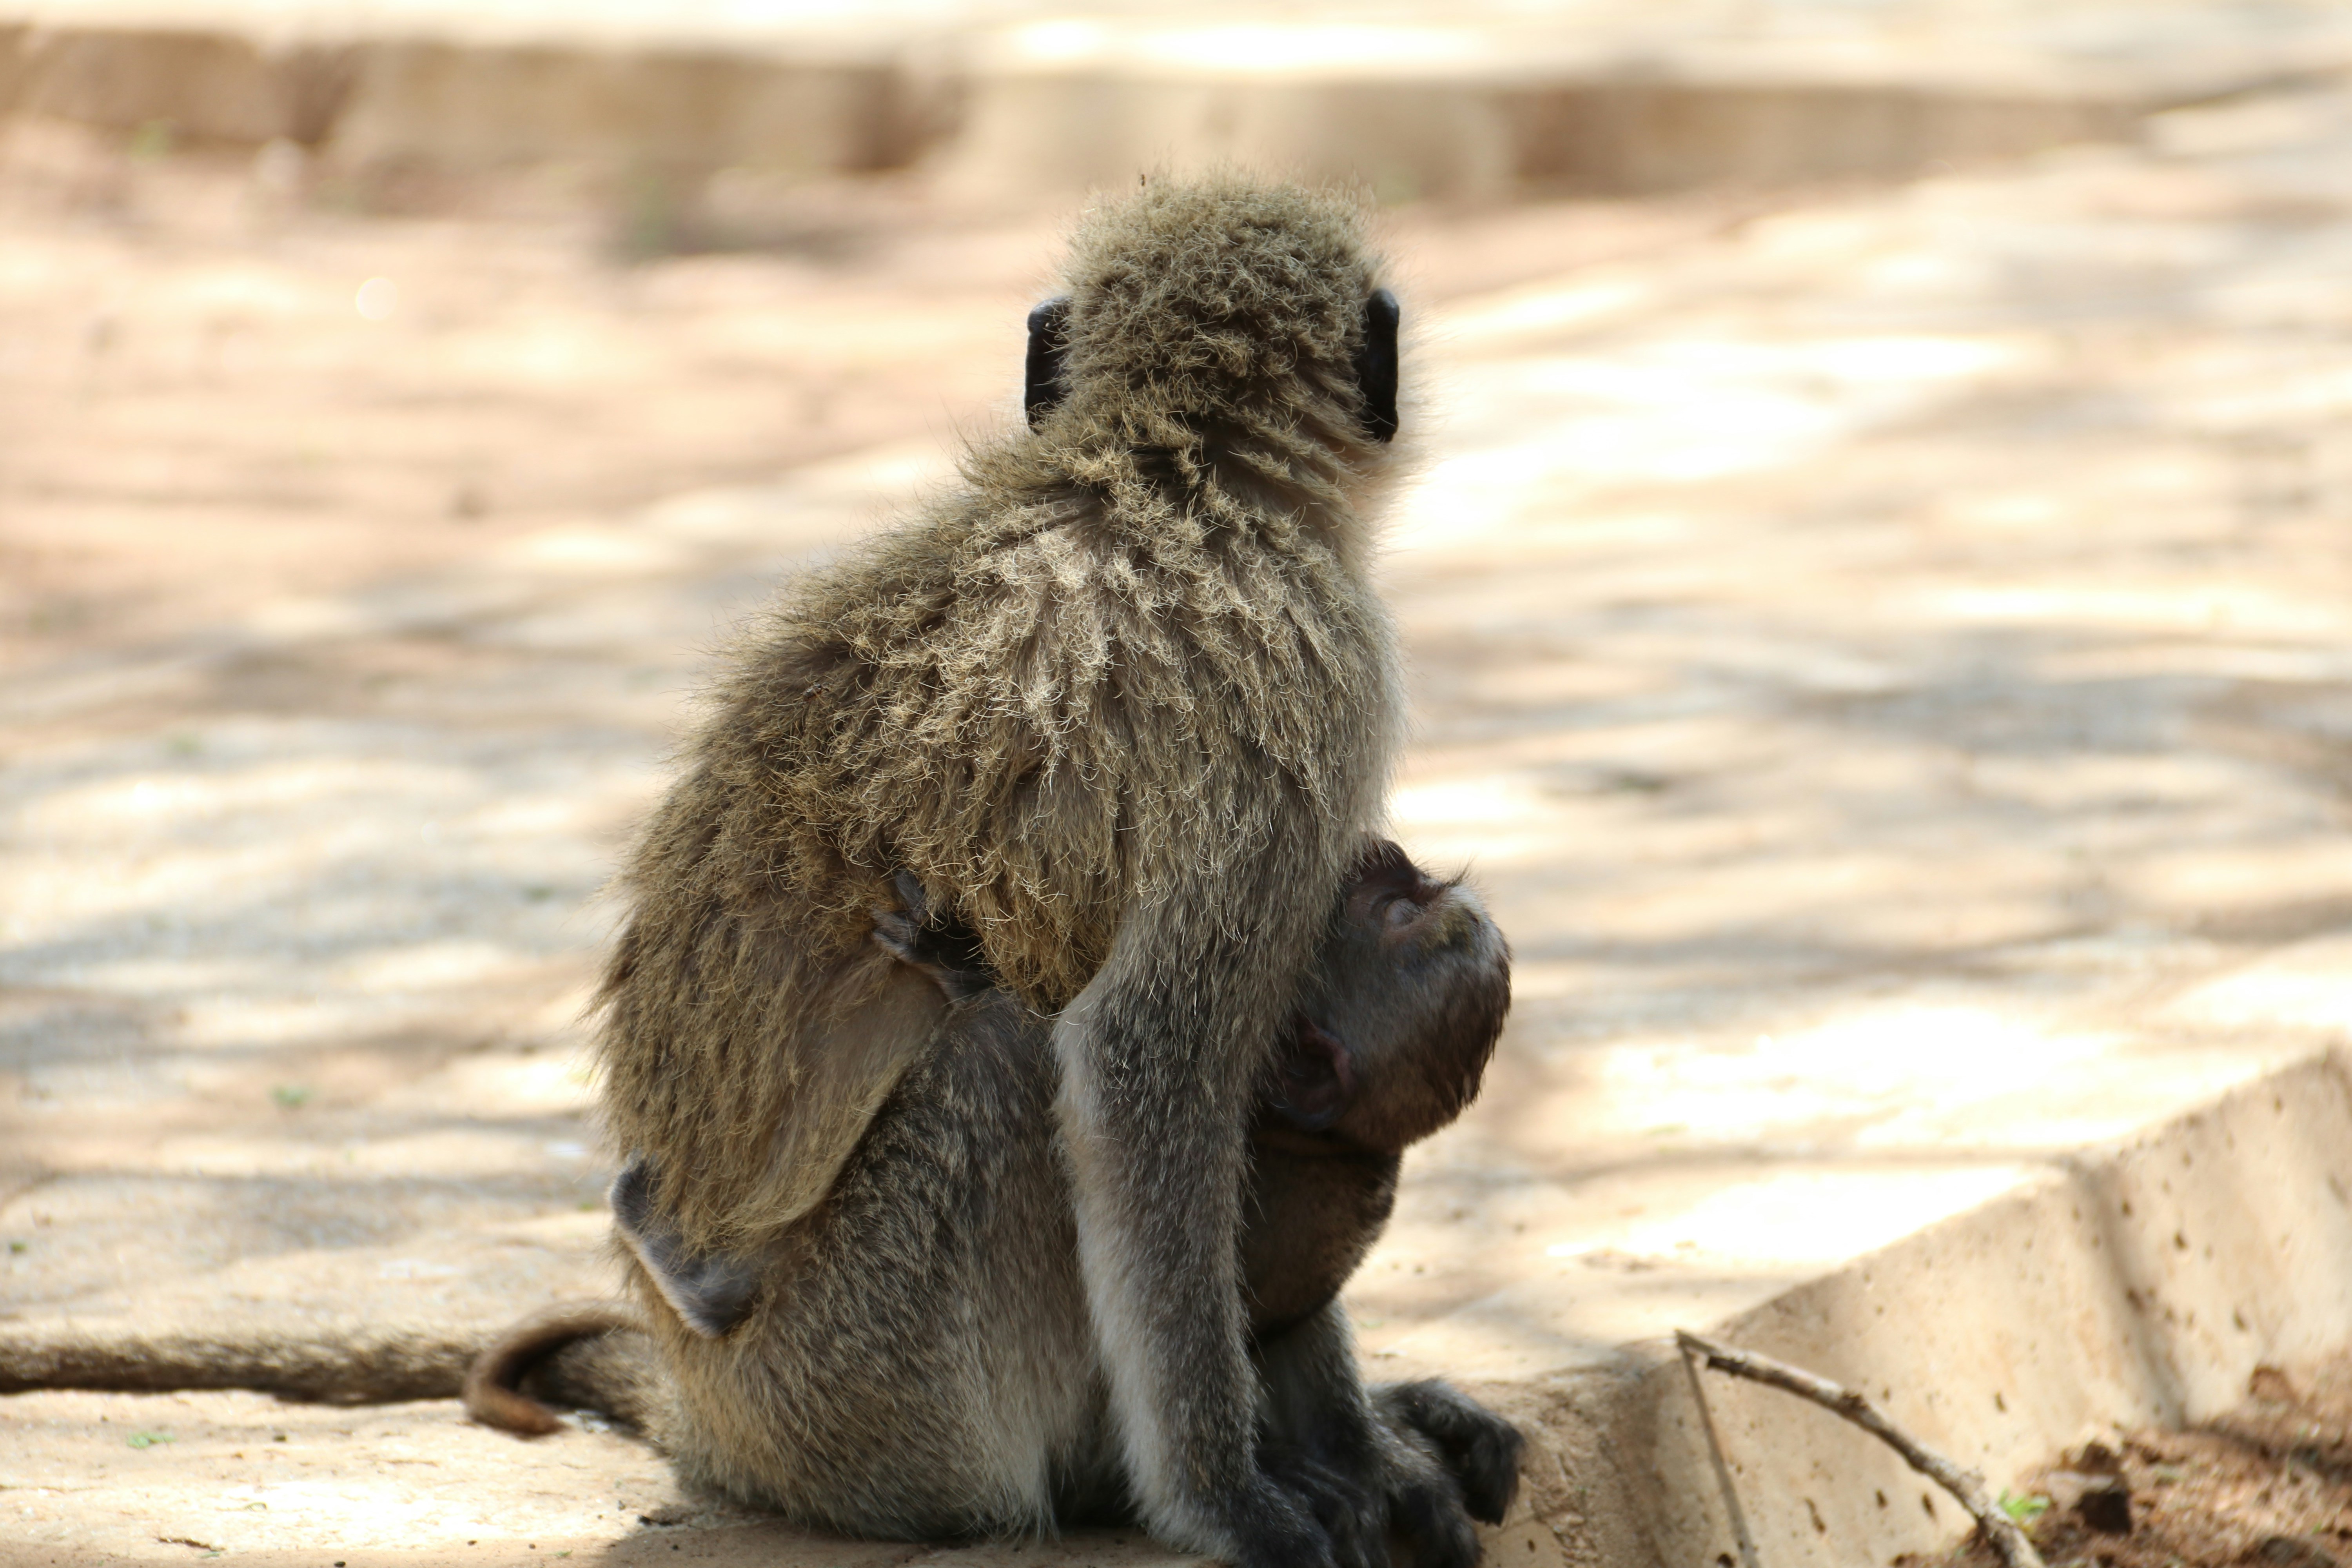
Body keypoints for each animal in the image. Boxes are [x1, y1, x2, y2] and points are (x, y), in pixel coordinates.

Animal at [466, 838, 1523, 1568]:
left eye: (1392, 905)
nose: (1379, 853)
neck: (1321, 1141)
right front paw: (1362, 1448)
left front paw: (957, 954)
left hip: (870, 1411)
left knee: (1003, 1050)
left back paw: (692, 1261)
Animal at [592, 174, 1412, 1565]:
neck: (1173, 468)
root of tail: (714, 1424)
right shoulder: (1315, 707)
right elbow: (1142, 1071)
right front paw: (1231, 1502)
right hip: (865, 1394)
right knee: (1002, 1055)